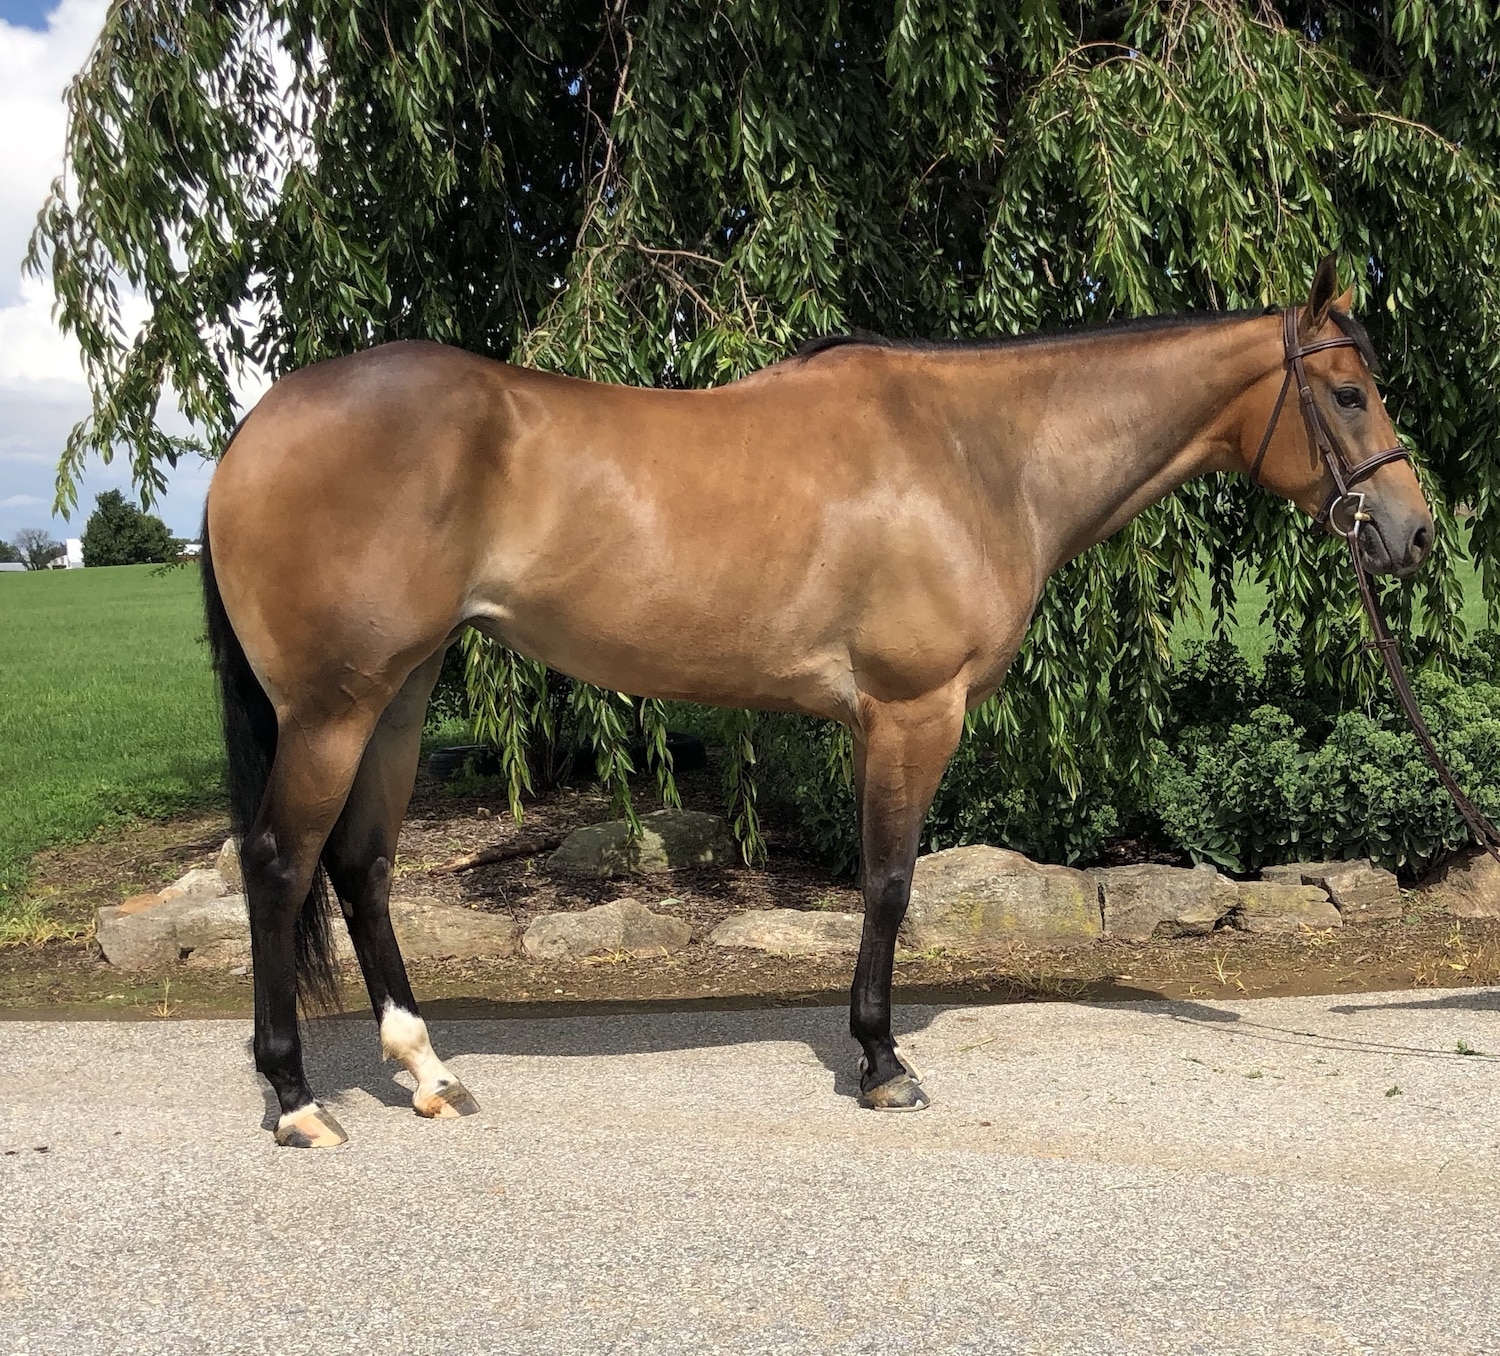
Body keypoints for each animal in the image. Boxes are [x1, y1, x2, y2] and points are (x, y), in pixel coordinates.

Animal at [201, 256, 1432, 1146]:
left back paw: (426, 1072)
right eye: (1348, 393)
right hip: (335, 709)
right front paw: (883, 1065)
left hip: (400, 697)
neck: (977, 452)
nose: (1414, 535)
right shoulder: (912, 712)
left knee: (361, 866)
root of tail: (256, 431)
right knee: (279, 863)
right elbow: (887, 884)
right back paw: (299, 1101)